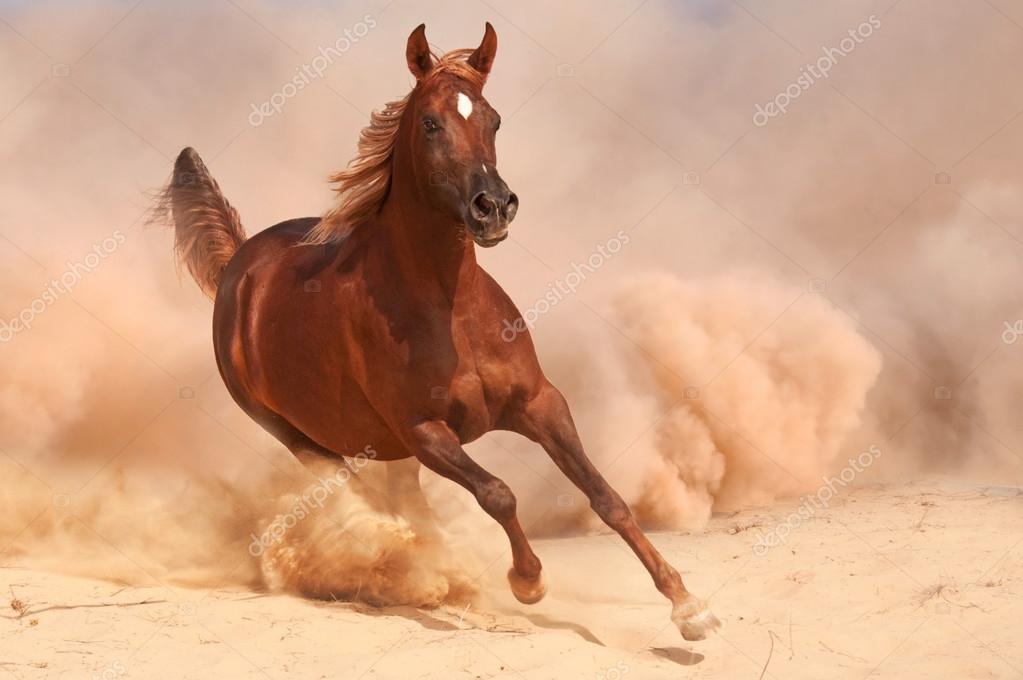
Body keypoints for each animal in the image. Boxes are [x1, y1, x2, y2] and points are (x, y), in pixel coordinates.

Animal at [157, 22, 720, 641]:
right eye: (430, 122)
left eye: (493, 119)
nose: (493, 207)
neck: (451, 311)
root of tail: (240, 264)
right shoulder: (426, 430)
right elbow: (499, 494)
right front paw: (528, 581)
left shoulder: (541, 404)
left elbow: (606, 496)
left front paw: (688, 605)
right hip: (307, 441)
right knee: (371, 506)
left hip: (386, 448)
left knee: (409, 508)